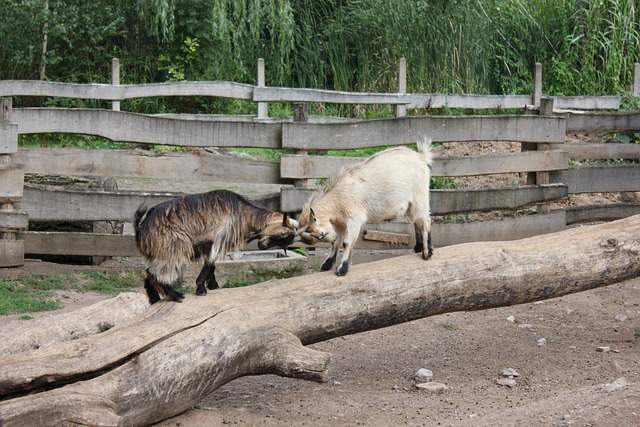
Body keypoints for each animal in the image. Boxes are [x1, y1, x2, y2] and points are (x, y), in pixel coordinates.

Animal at [134, 189, 297, 304]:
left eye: (286, 242)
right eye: (282, 233)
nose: (262, 246)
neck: (243, 213)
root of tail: (141, 230)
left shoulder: (210, 243)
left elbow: (212, 264)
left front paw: (212, 284)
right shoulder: (217, 238)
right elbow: (209, 263)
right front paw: (201, 288)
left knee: (149, 274)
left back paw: (156, 299)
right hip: (174, 247)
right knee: (156, 273)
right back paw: (175, 295)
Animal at [295, 138, 434, 276]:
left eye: (321, 235)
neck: (338, 195)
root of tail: (421, 156)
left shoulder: (354, 218)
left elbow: (346, 242)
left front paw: (342, 269)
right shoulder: (339, 223)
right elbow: (336, 242)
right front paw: (326, 265)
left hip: (419, 197)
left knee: (425, 220)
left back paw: (426, 253)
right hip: (409, 205)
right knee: (417, 221)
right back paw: (418, 247)